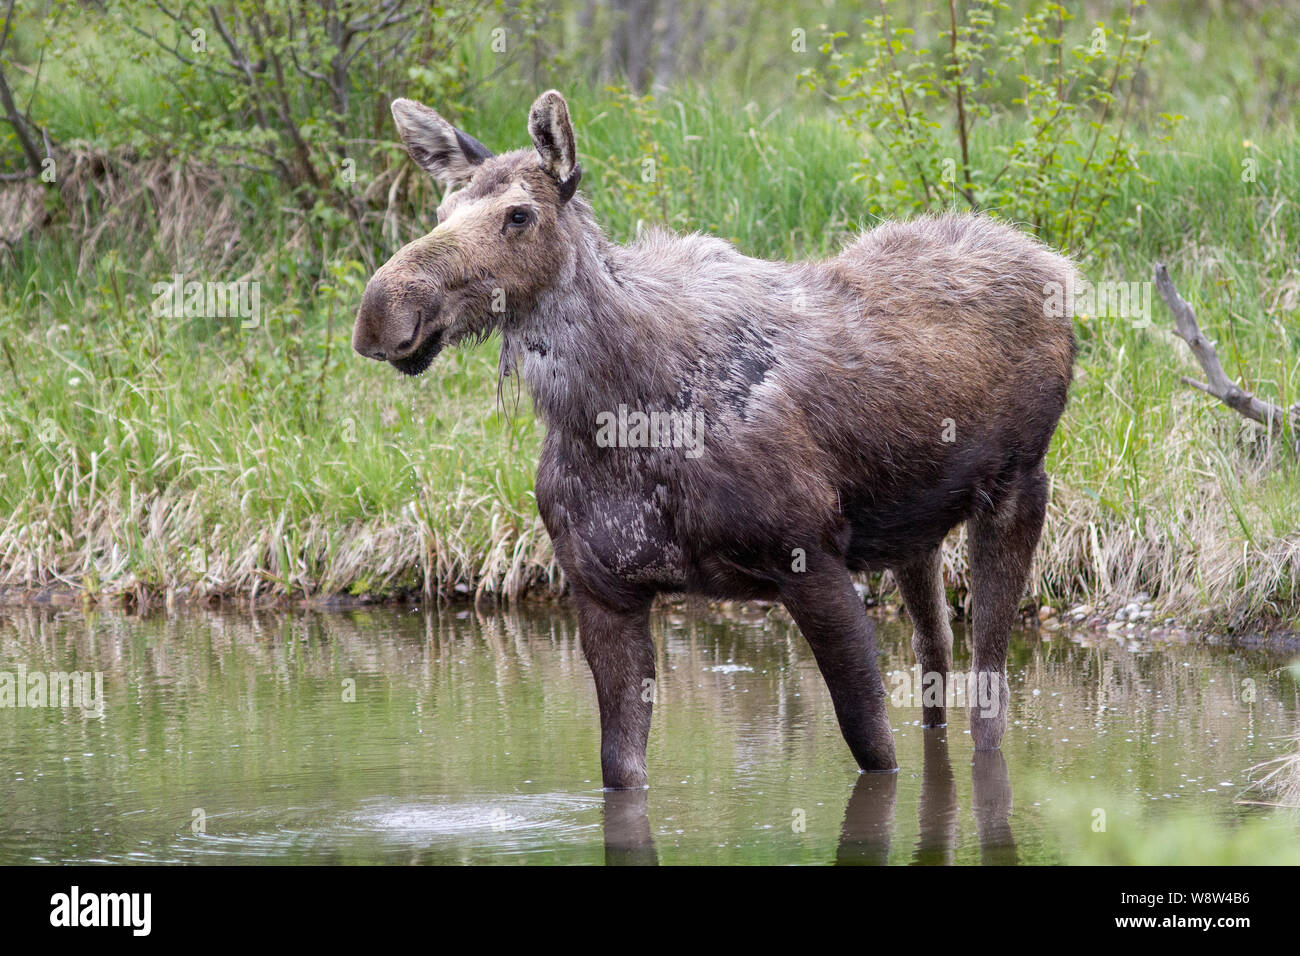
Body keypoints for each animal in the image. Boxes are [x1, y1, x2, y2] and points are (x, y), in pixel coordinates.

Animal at [353, 90, 1078, 790]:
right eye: (442, 208)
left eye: (519, 215)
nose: (382, 310)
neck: (612, 419)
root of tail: (1058, 266)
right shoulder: (602, 593)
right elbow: (619, 769)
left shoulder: (811, 560)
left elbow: (873, 744)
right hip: (913, 533)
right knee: (936, 660)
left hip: (1019, 484)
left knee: (989, 693)